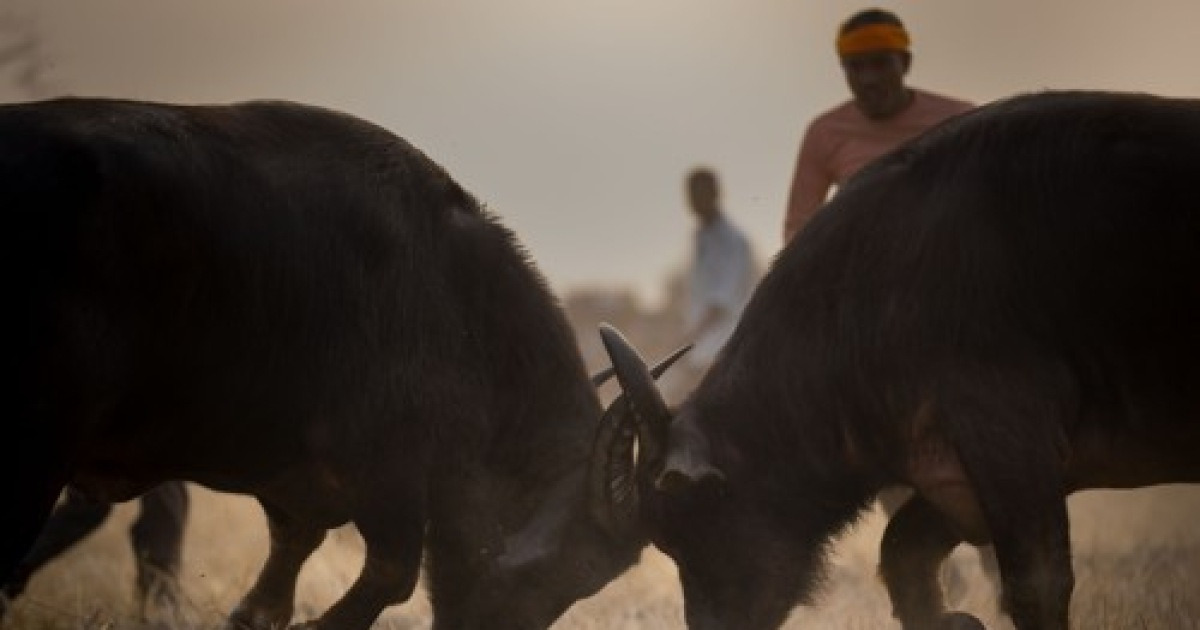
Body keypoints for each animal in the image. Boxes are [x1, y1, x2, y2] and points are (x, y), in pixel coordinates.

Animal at [1, 96, 685, 630]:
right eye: (569, 571)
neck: (449, 294)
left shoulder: (301, 493)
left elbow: (279, 582)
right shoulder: (391, 478)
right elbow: (391, 573)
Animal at [595, 90, 1200, 629]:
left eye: (684, 526)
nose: (708, 626)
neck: (874, 294)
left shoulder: (1011, 444)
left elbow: (1035, 588)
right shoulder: (951, 477)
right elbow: (902, 554)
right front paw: (957, 620)